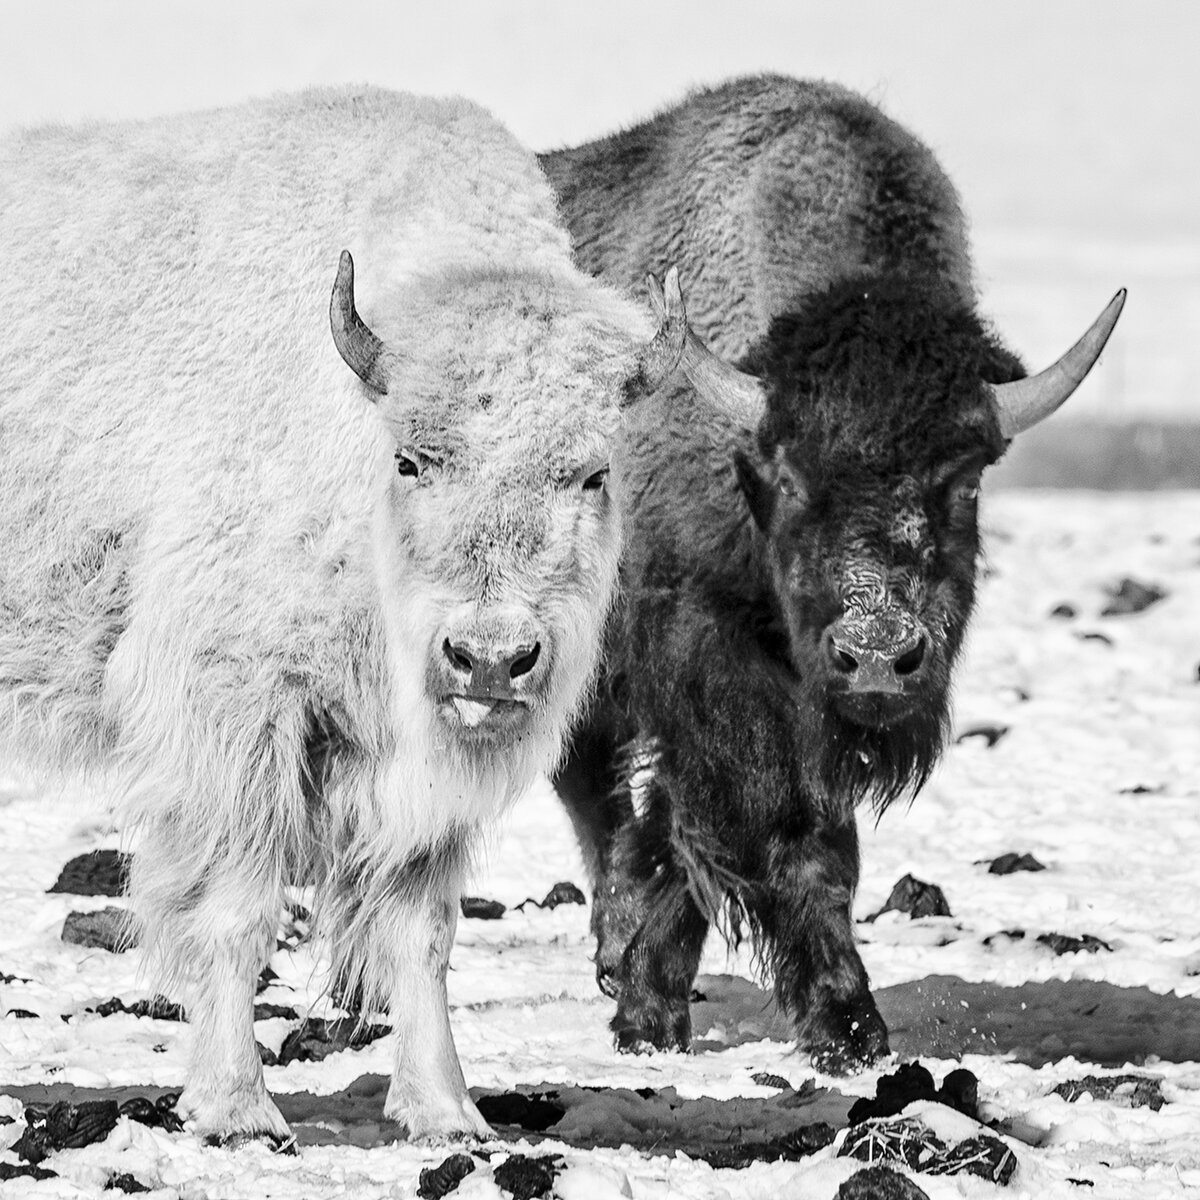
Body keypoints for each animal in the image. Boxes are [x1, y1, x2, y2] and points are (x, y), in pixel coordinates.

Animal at [0, 87, 682, 1142]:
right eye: (411, 459)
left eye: (592, 472)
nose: (490, 659)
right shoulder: (234, 714)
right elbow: (237, 913)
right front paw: (237, 1107)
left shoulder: (420, 785)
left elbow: (423, 932)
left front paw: (447, 1111)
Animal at [540, 75, 1123, 1070]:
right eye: (788, 475)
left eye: (964, 478)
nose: (879, 656)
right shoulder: (709, 662)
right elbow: (770, 827)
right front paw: (841, 1024)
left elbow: (741, 836)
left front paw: (672, 999)